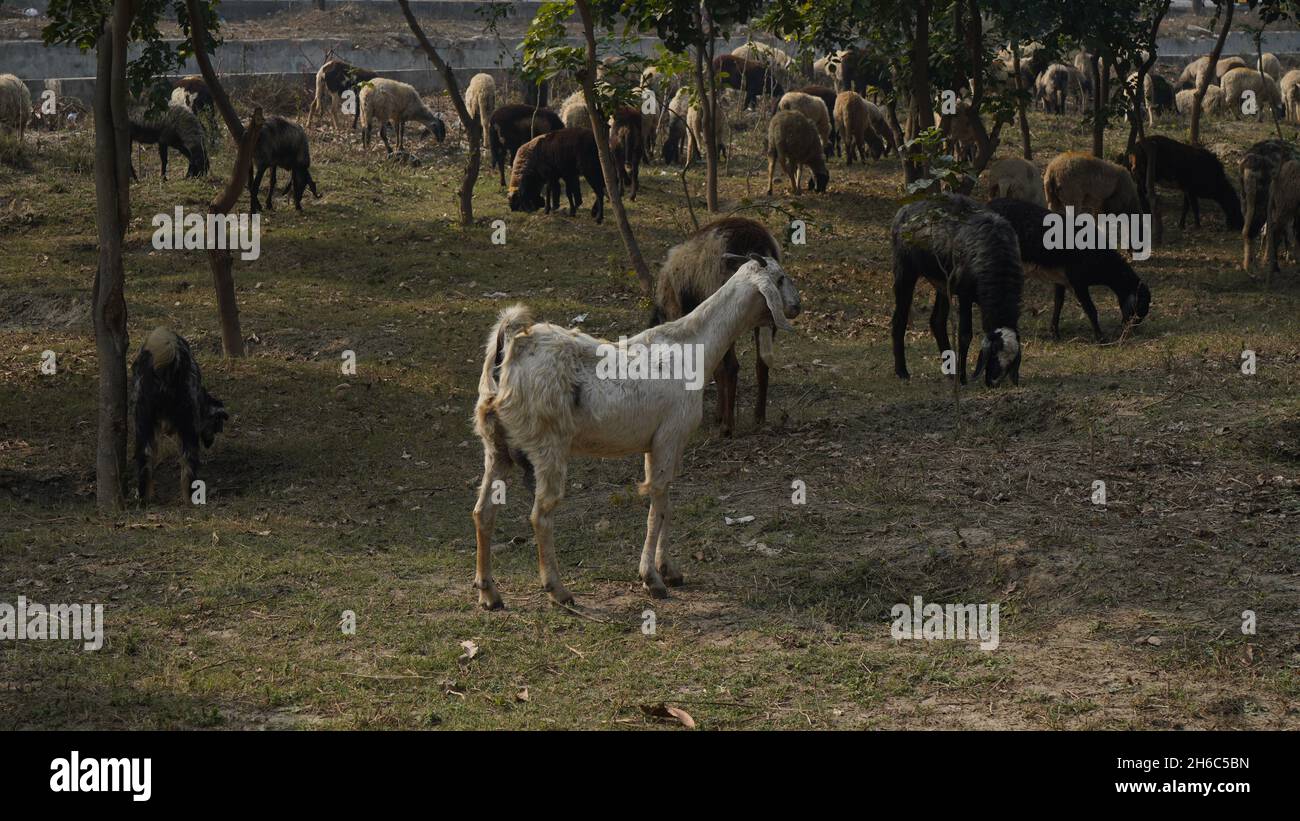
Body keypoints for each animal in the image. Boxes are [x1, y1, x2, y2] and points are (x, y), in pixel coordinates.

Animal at [131, 327, 228, 506]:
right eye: (217, 424)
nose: (210, 443)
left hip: (143, 420)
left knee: (144, 459)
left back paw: (143, 498)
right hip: (187, 424)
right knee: (189, 463)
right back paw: (190, 498)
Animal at [470, 255, 801, 608]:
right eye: (780, 277)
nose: (797, 305)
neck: (692, 347)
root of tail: (509, 347)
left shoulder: (657, 443)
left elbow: (666, 502)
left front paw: (668, 569)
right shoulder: (671, 434)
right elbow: (656, 502)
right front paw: (652, 578)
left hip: (496, 445)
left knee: (483, 512)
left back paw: (489, 593)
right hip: (548, 443)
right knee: (541, 514)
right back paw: (557, 589)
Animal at [650, 217, 783, 437]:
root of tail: (756, 241)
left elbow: (717, 368)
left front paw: (719, 416)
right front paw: (718, 413)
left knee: (732, 367)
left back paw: (728, 426)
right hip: (768, 317)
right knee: (762, 363)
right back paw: (758, 417)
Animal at [890, 194, 1024, 386]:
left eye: (1011, 362)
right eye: (992, 354)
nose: (993, 383)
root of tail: (905, 209)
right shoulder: (965, 295)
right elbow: (965, 335)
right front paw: (962, 378)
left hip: (943, 283)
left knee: (937, 321)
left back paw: (949, 371)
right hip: (905, 272)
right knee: (899, 321)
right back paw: (902, 371)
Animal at [988, 197, 1151, 341]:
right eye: (1140, 304)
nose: (1131, 329)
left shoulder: (1061, 278)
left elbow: (1058, 303)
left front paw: (1055, 333)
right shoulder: (1077, 281)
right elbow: (1091, 309)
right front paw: (1100, 338)